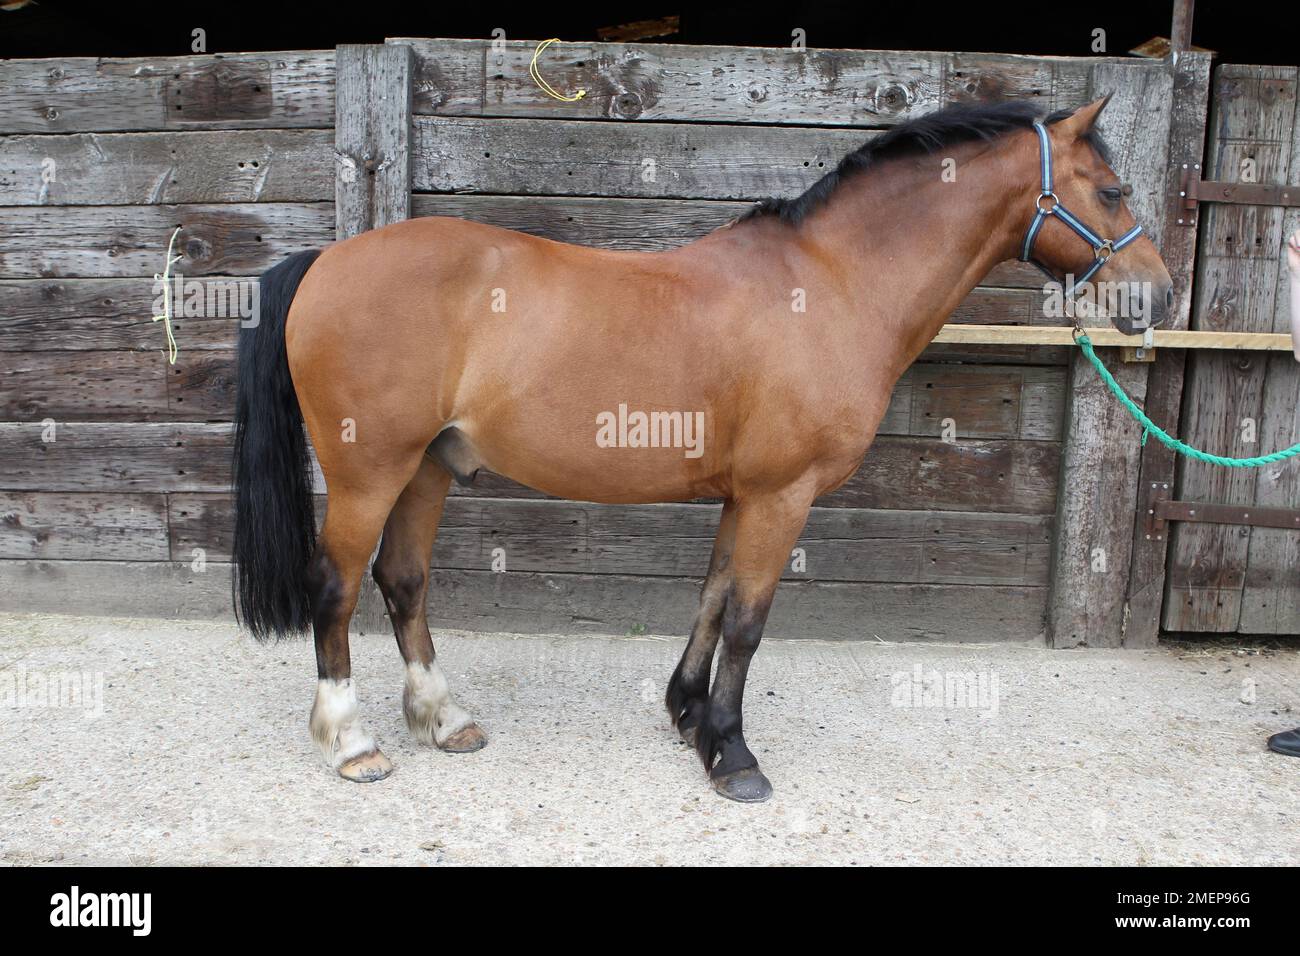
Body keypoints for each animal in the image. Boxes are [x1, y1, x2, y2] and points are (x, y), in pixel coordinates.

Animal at [232, 95, 1172, 802]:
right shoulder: (781, 495)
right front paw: (734, 753)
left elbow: (714, 599)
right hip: (370, 471)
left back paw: (443, 718)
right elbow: (750, 624)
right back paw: (351, 742)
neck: (828, 284)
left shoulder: (741, 494)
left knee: (403, 581)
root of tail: (326, 262)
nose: (1158, 296)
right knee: (335, 589)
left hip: (428, 466)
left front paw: (688, 716)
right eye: (1113, 190)